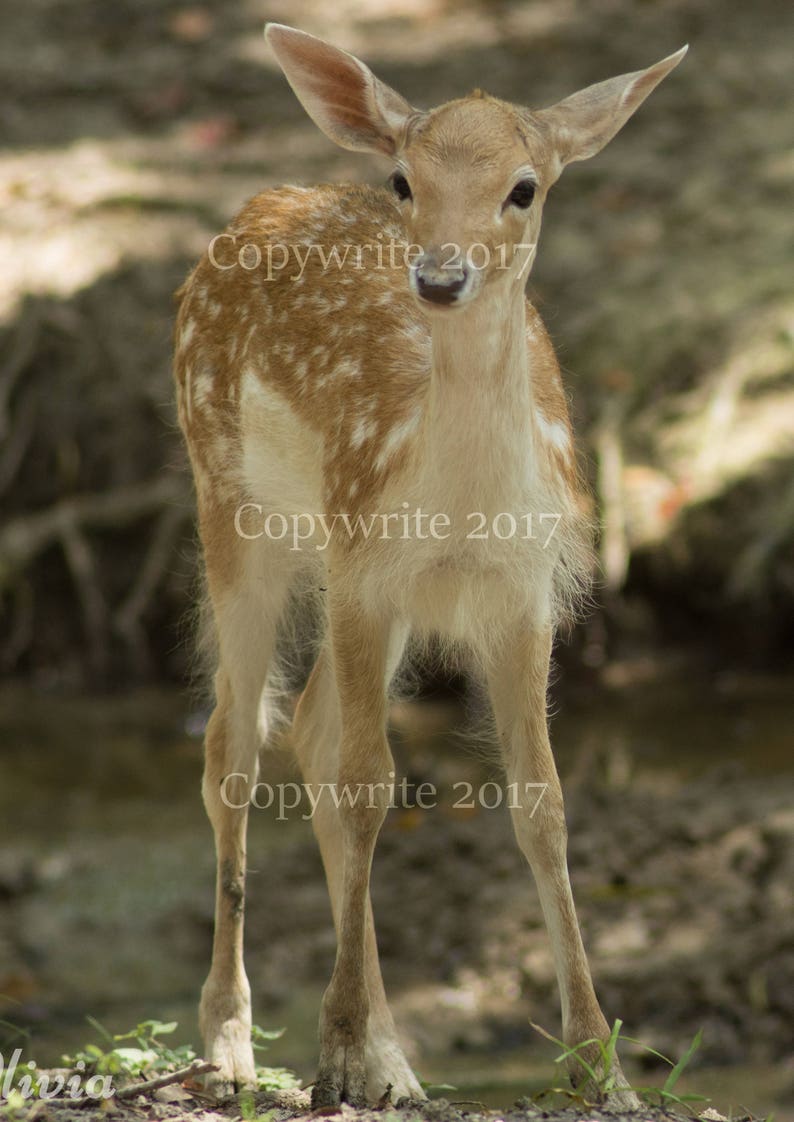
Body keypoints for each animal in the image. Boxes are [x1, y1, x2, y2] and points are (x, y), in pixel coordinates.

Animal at [173, 23, 686, 1110]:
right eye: (404, 180)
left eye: (524, 187)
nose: (441, 279)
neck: (457, 500)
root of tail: (259, 201)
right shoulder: (365, 556)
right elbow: (373, 783)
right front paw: (328, 1052)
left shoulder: (520, 595)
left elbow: (542, 802)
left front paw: (599, 1066)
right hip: (233, 501)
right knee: (235, 745)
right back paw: (234, 1042)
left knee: (311, 729)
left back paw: (393, 1061)